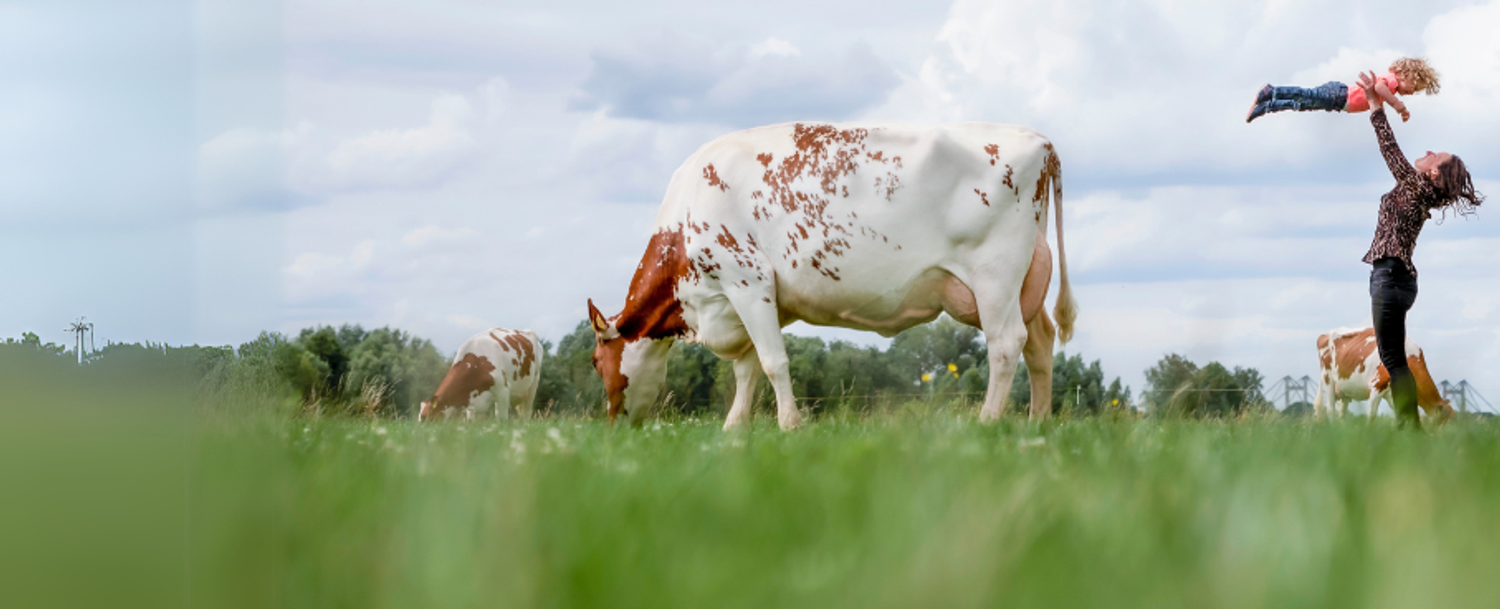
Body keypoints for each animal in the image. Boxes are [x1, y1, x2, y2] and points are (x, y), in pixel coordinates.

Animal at [585, 122, 1076, 430]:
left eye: (594, 361)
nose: (611, 427)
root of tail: (1039, 140)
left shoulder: (746, 279)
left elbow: (773, 362)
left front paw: (789, 425)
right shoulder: (754, 300)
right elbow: (748, 369)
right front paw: (734, 429)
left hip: (994, 274)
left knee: (1006, 343)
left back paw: (987, 421)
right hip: (1023, 280)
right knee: (1039, 342)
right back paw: (1035, 423)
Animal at [1313, 327, 1454, 422]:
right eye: (1447, 422)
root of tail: (1325, 334)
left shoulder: (1395, 396)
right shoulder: (1376, 386)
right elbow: (1371, 416)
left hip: (1344, 390)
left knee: (1342, 414)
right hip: (1328, 379)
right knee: (1330, 410)